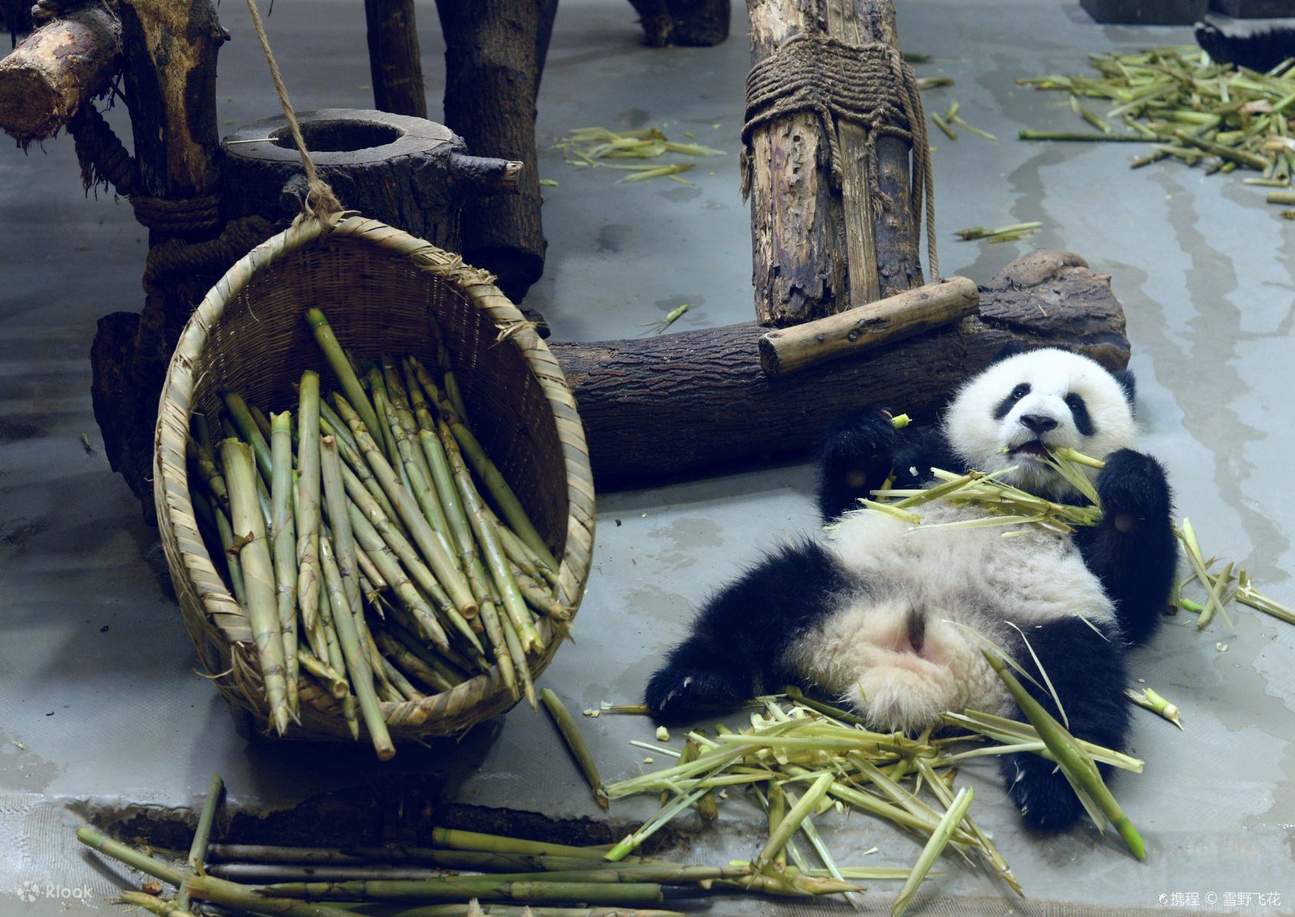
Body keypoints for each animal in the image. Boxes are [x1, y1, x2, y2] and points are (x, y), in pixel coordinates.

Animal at [645, 346, 1178, 831]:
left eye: (1076, 404)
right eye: (1017, 393)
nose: (1038, 421)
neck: (1016, 492)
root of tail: (926, 672)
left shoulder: (1080, 528)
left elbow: (1132, 598)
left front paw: (1131, 485)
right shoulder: (930, 465)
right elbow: (854, 498)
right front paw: (862, 437)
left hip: (1045, 634)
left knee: (1078, 697)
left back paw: (1050, 786)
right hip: (840, 580)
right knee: (760, 601)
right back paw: (692, 685)